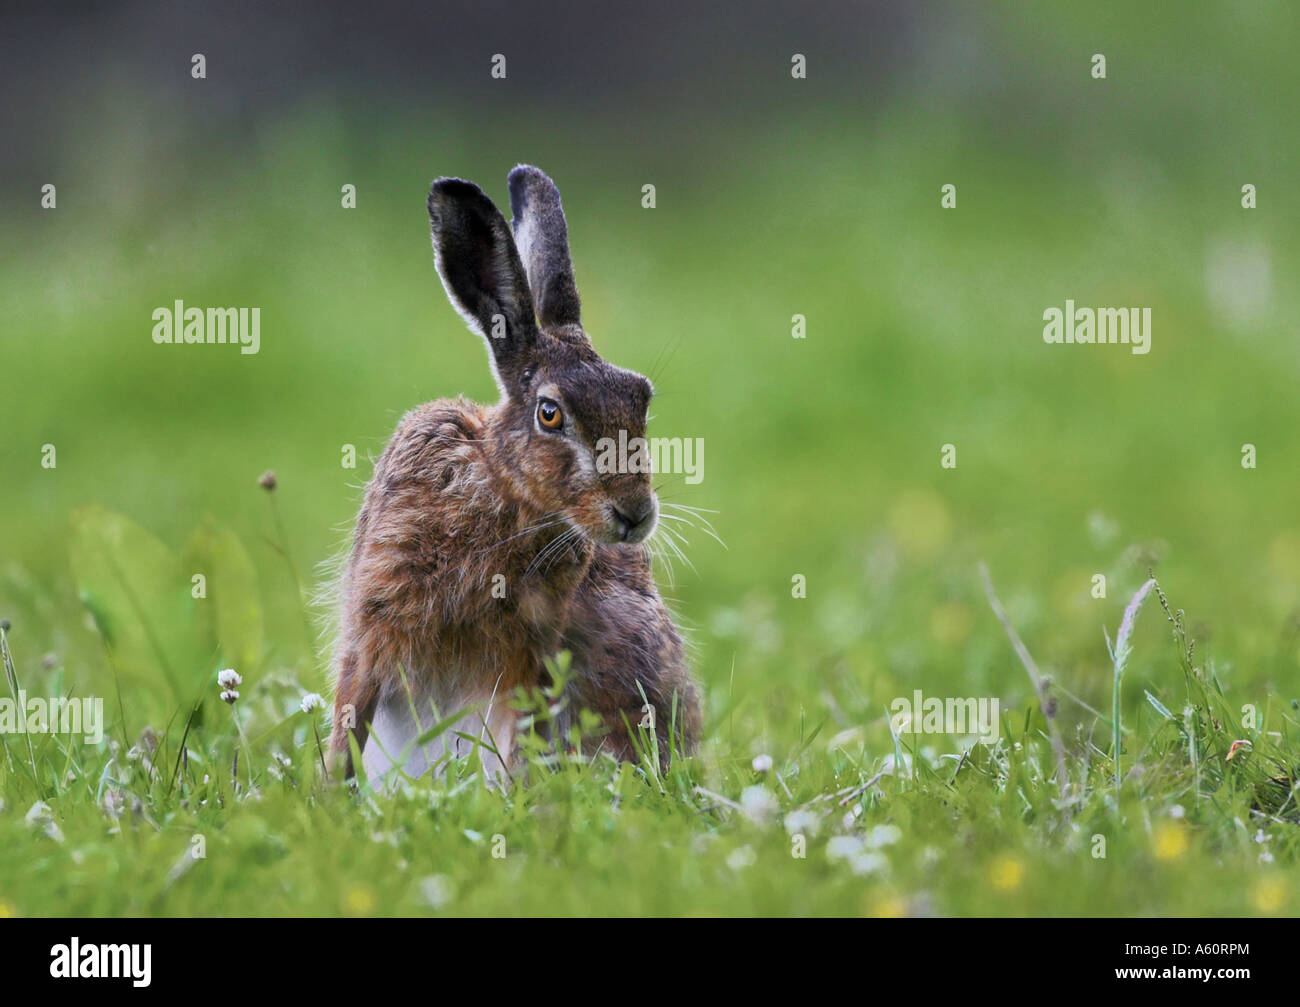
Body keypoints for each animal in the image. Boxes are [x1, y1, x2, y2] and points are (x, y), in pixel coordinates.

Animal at [329, 165, 701, 783]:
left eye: (641, 400)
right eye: (549, 413)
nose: (635, 514)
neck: (504, 493)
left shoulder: (532, 658)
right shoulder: (373, 624)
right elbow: (348, 722)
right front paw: (328, 792)